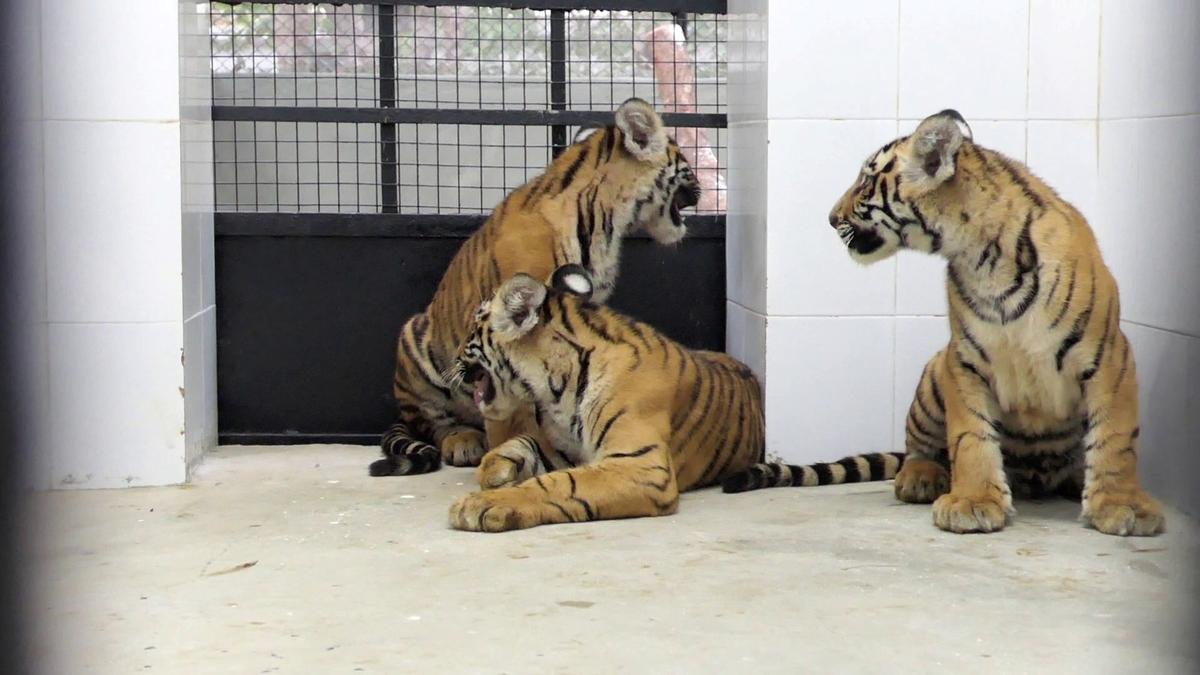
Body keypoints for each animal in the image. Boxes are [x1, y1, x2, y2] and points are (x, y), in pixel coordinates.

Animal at [369, 98, 702, 478]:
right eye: (686, 161)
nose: (703, 187)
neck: (605, 219)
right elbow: (508, 407)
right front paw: (511, 449)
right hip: (415, 339)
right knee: (433, 422)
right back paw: (463, 442)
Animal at [442, 265, 765, 532]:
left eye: (473, 327)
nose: (452, 358)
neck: (558, 386)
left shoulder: (642, 464)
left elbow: (562, 484)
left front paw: (482, 504)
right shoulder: (566, 449)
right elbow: (524, 443)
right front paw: (494, 469)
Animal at [724, 109, 1164, 537]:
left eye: (866, 182)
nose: (830, 218)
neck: (983, 257)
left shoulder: (1110, 358)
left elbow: (1115, 438)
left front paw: (1122, 505)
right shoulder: (964, 360)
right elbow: (970, 436)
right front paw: (973, 502)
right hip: (933, 376)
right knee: (919, 448)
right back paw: (920, 477)